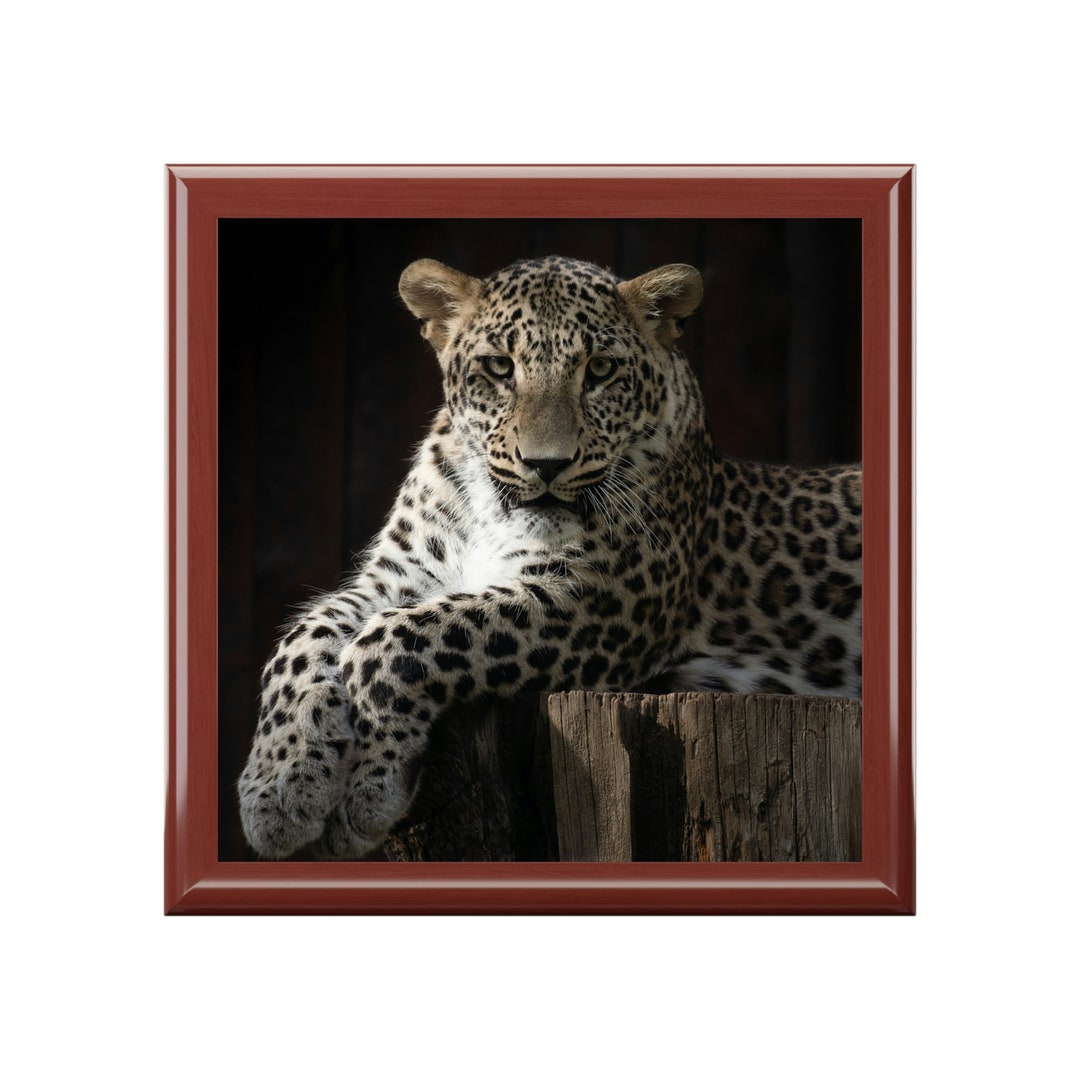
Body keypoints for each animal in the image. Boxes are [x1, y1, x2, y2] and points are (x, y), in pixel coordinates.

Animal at [238, 254, 862, 860]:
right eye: (499, 368)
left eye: (601, 371)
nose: (546, 464)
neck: (489, 513)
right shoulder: (397, 578)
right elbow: (302, 638)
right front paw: (278, 791)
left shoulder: (601, 599)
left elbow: (398, 637)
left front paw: (369, 789)